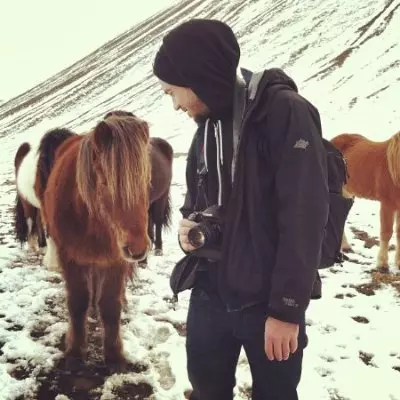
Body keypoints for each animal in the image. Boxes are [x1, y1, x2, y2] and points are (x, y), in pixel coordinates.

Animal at [40, 115, 151, 368]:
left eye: (146, 179)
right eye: (105, 182)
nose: (138, 249)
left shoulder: (115, 261)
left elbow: (110, 305)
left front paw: (114, 355)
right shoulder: (70, 258)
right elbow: (77, 302)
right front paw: (75, 352)